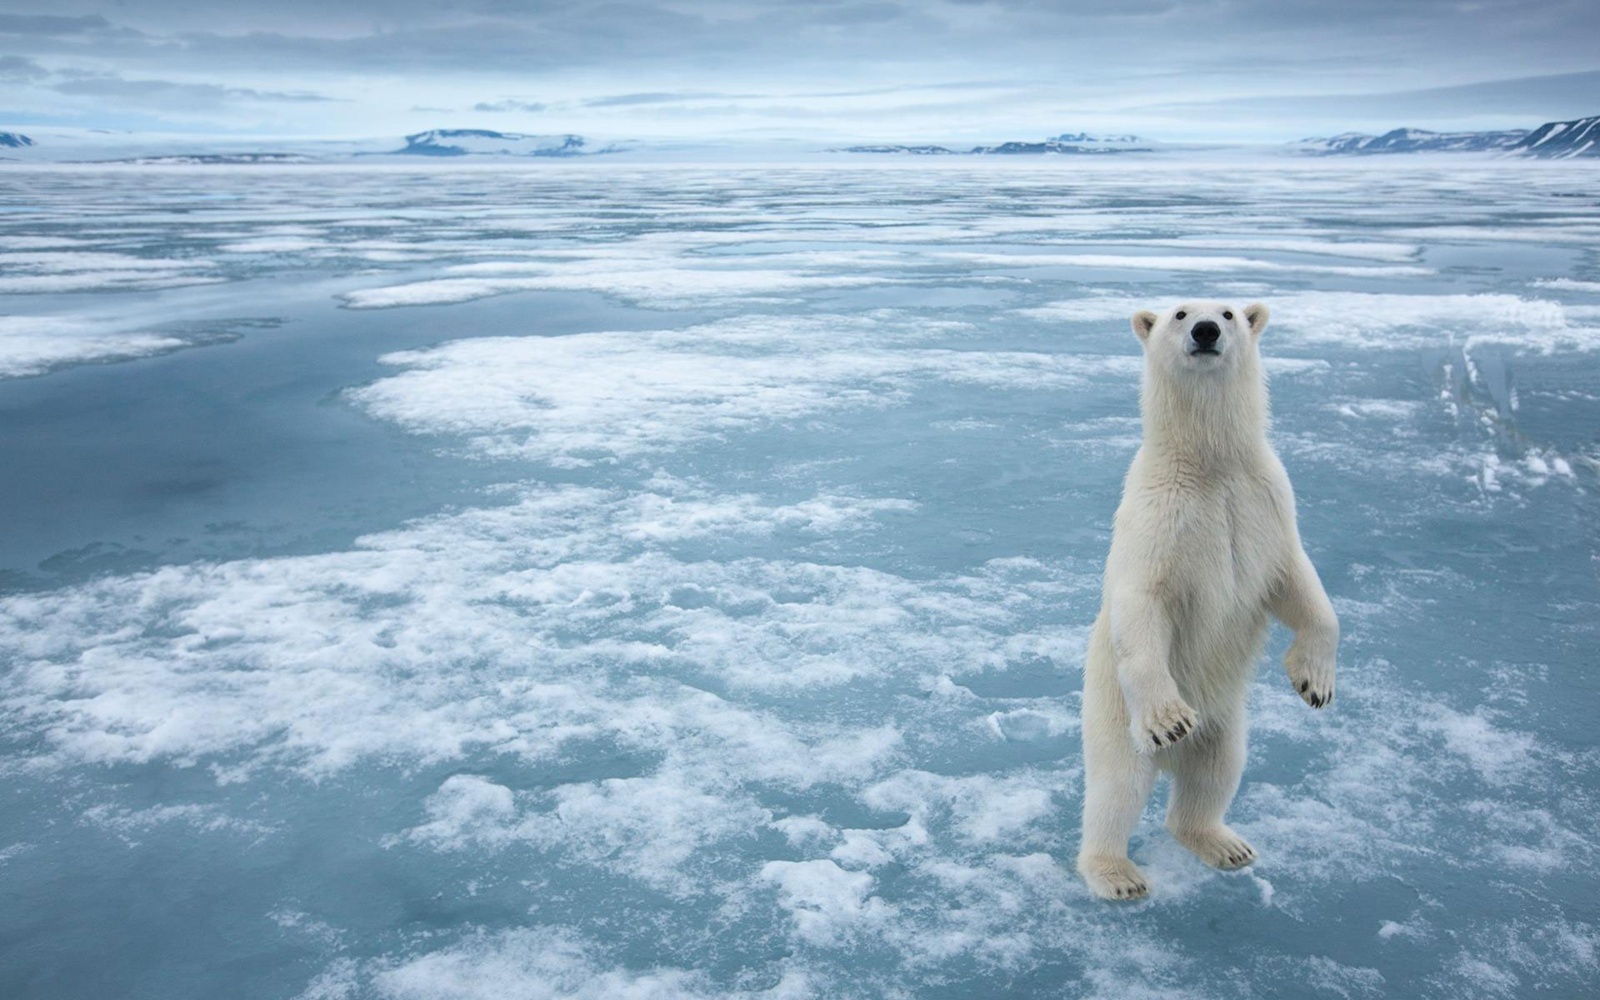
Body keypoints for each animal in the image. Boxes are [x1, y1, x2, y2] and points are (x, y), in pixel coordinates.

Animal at [1076, 301, 1339, 901]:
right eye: (1178, 312)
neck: (1210, 464)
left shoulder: (1266, 502)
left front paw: (1314, 682)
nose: (1205, 331)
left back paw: (1225, 843)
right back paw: (1117, 873)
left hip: (1226, 721)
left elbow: (1299, 584)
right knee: (1117, 787)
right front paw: (1170, 718)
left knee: (1216, 773)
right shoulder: (1158, 517)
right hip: (1112, 712)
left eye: (1229, 311)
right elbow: (1142, 602)